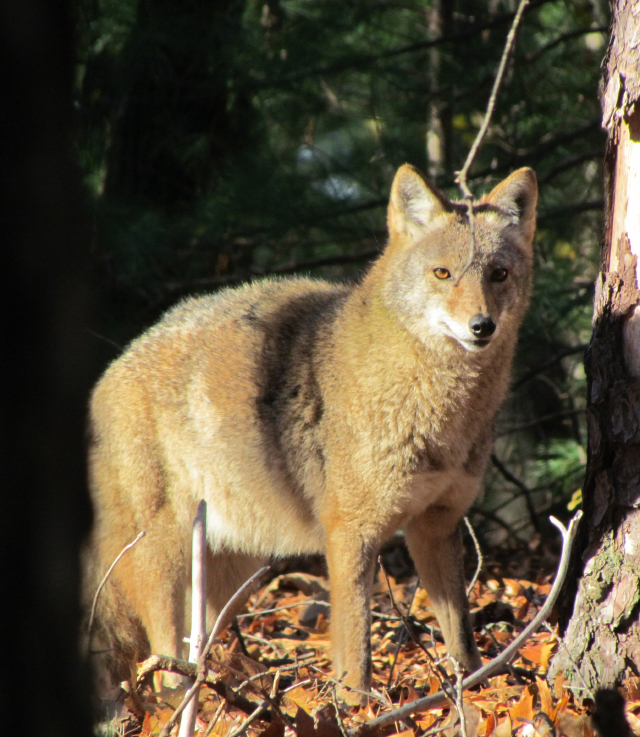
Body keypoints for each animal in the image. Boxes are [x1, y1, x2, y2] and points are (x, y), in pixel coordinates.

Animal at [85, 164, 537, 700]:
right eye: (442, 274)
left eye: (499, 274)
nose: (481, 326)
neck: (437, 410)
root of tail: (112, 368)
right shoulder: (350, 533)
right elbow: (355, 647)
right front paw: (357, 708)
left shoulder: (436, 525)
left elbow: (462, 638)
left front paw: (478, 691)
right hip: (166, 555)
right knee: (162, 659)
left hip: (236, 576)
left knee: (195, 647)